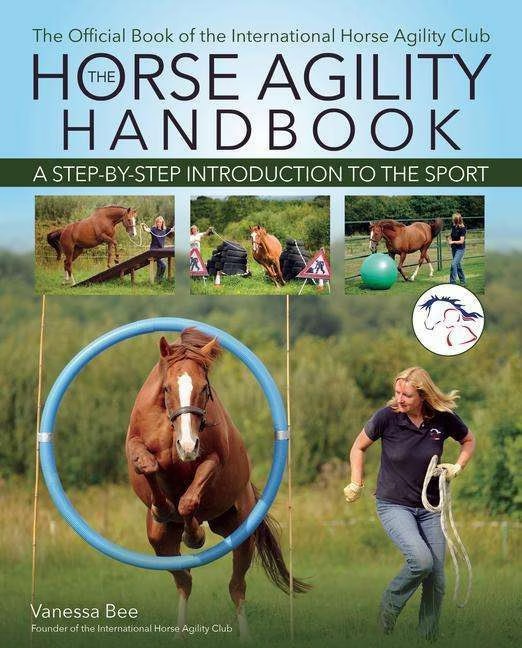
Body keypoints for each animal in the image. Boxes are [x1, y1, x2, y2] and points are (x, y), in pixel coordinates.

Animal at [125, 328, 308, 638]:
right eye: (167, 389)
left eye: (204, 388)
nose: (187, 446)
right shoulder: (136, 446)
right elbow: (146, 463)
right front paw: (162, 507)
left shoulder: (212, 461)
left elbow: (189, 500)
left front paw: (195, 535)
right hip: (160, 540)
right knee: (184, 580)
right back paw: (179, 635)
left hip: (239, 532)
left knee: (236, 587)